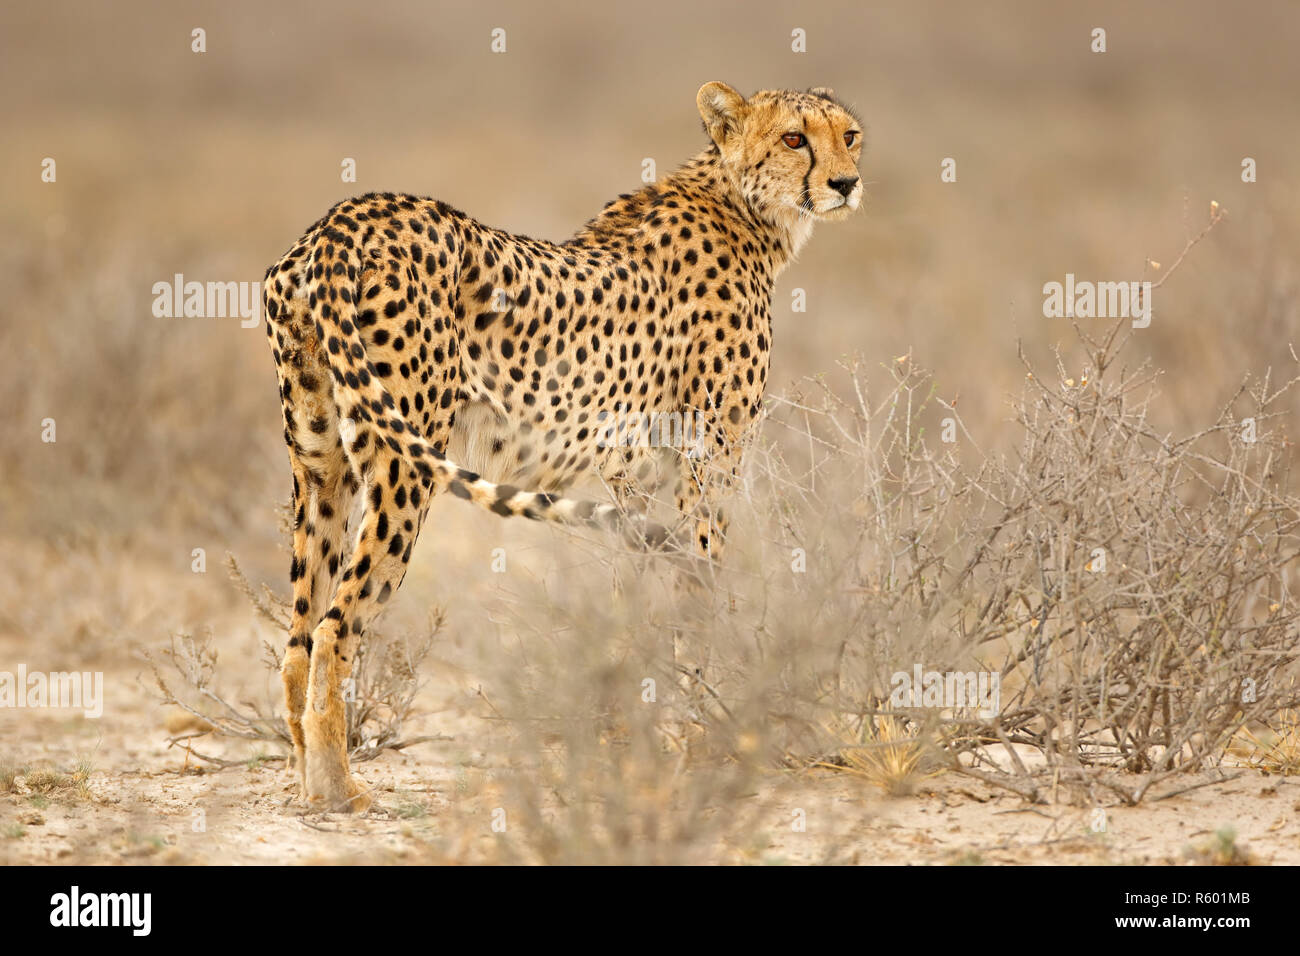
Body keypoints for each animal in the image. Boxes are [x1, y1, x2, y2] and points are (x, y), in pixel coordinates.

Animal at [262, 81, 864, 811]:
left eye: (849, 135)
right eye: (794, 138)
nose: (846, 183)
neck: (744, 207)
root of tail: (337, 223)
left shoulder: (638, 478)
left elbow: (637, 598)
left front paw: (629, 731)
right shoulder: (707, 463)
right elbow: (703, 591)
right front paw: (708, 729)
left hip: (320, 466)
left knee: (297, 635)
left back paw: (306, 782)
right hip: (404, 466)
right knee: (334, 626)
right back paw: (341, 791)